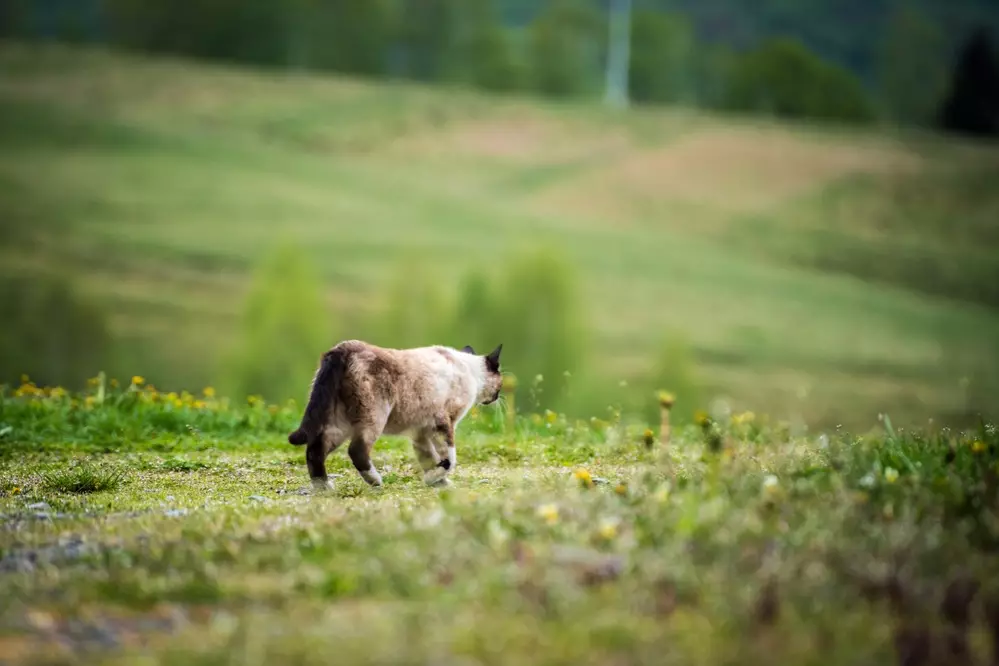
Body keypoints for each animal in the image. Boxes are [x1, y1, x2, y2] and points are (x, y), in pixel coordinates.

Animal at [290, 340, 508, 490]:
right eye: (500, 384)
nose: (498, 397)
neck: (470, 371)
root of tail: (343, 348)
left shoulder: (421, 433)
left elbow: (429, 459)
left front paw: (438, 482)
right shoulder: (444, 424)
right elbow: (449, 460)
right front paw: (434, 479)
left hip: (340, 424)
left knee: (315, 450)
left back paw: (324, 487)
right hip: (374, 417)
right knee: (356, 450)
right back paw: (376, 481)